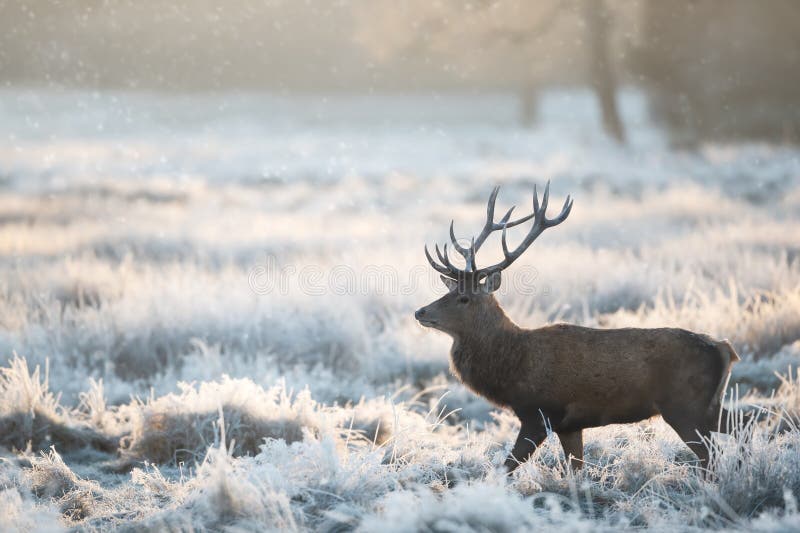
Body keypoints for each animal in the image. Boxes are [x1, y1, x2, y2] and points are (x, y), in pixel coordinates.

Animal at [415, 184, 740, 473]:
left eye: (464, 297)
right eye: (448, 290)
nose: (420, 311)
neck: (514, 367)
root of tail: (725, 349)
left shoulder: (540, 413)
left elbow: (506, 467)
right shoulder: (570, 425)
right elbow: (576, 469)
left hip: (685, 406)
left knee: (712, 454)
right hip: (708, 405)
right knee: (744, 423)